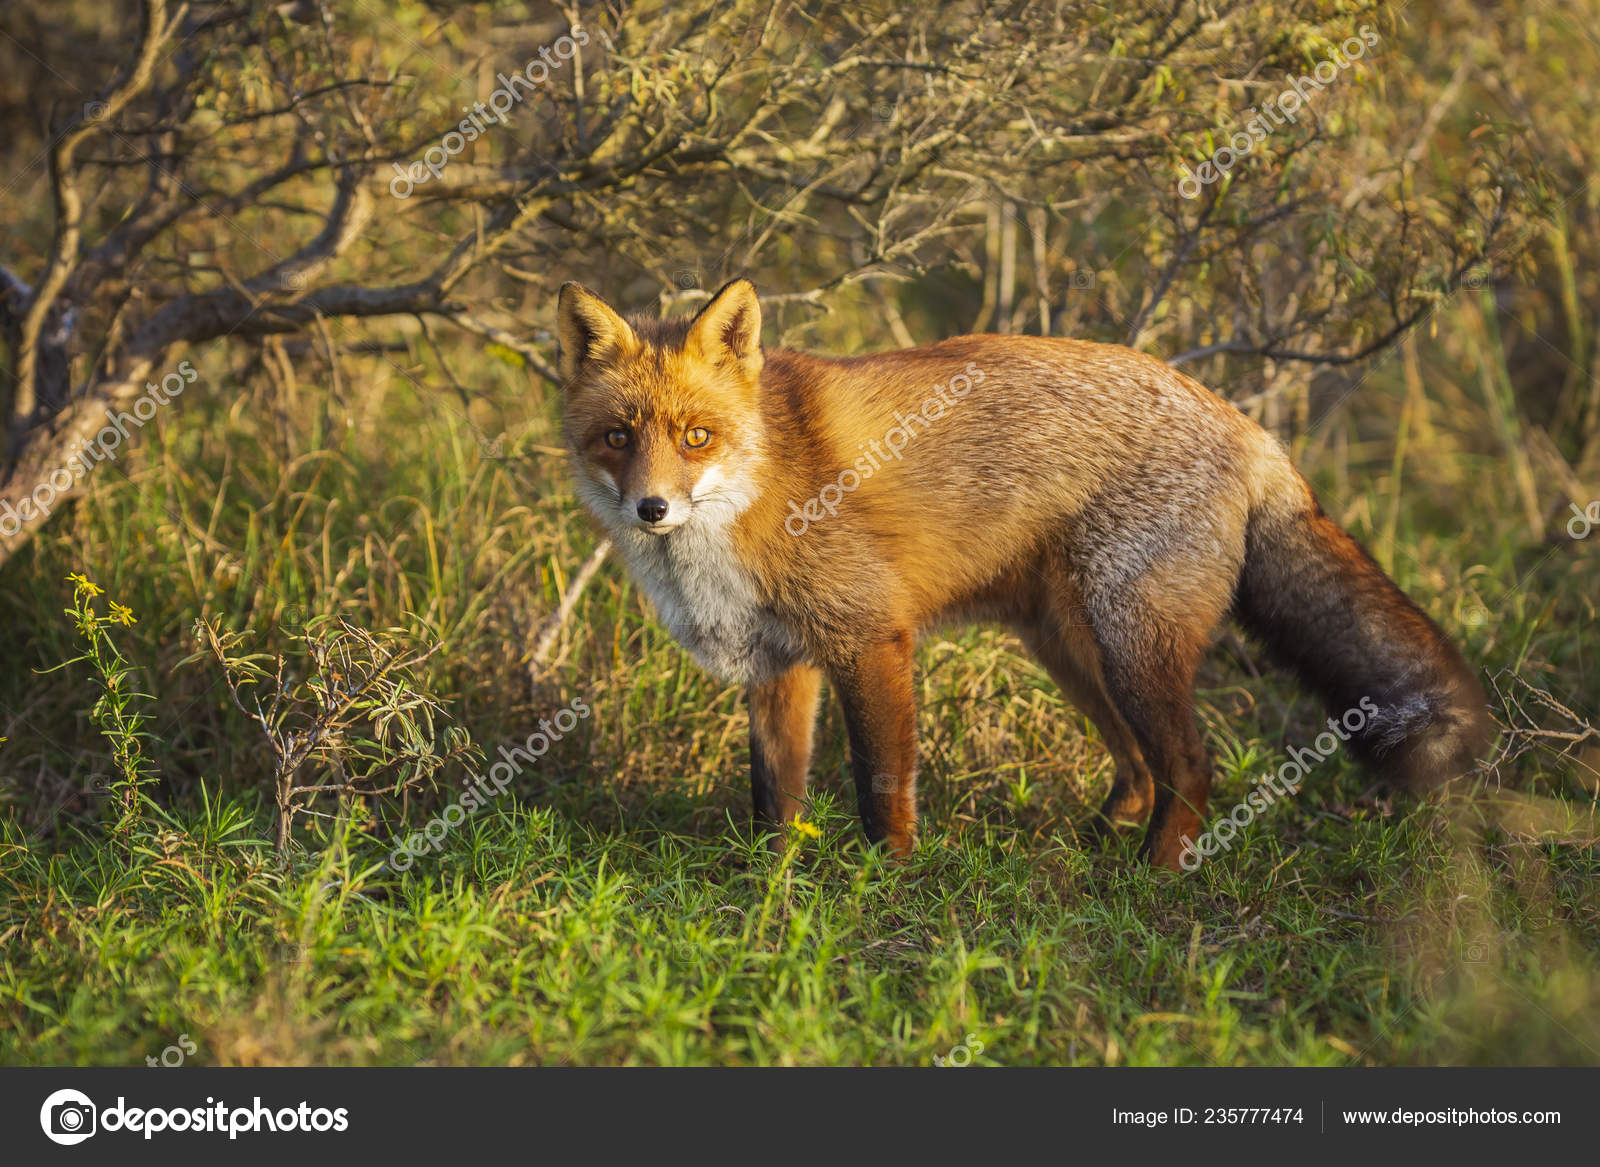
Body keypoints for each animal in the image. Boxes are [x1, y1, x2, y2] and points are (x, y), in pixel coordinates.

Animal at [555, 277, 1493, 870]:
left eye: (696, 437)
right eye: (617, 438)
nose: (652, 509)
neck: (754, 494)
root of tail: (1248, 424)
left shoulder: (871, 638)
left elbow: (880, 784)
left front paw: (886, 879)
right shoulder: (777, 665)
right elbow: (773, 797)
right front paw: (770, 885)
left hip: (1131, 645)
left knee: (1192, 766)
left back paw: (1152, 877)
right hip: (1073, 649)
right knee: (1140, 766)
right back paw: (1100, 841)